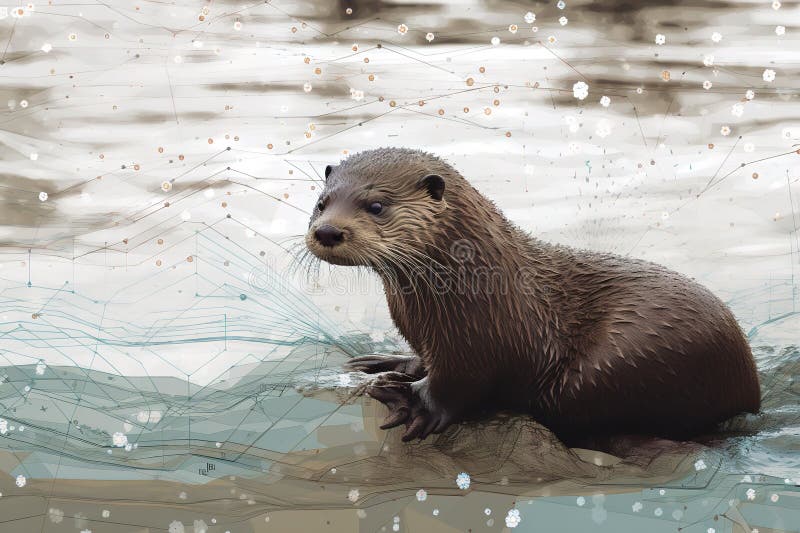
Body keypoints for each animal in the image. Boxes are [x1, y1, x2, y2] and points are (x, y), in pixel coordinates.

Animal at [304, 148, 761, 444]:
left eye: (377, 205)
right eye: (321, 203)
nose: (327, 231)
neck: (471, 282)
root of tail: (750, 387)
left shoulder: (481, 341)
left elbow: (458, 387)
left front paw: (413, 400)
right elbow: (426, 360)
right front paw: (393, 363)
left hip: (620, 362)